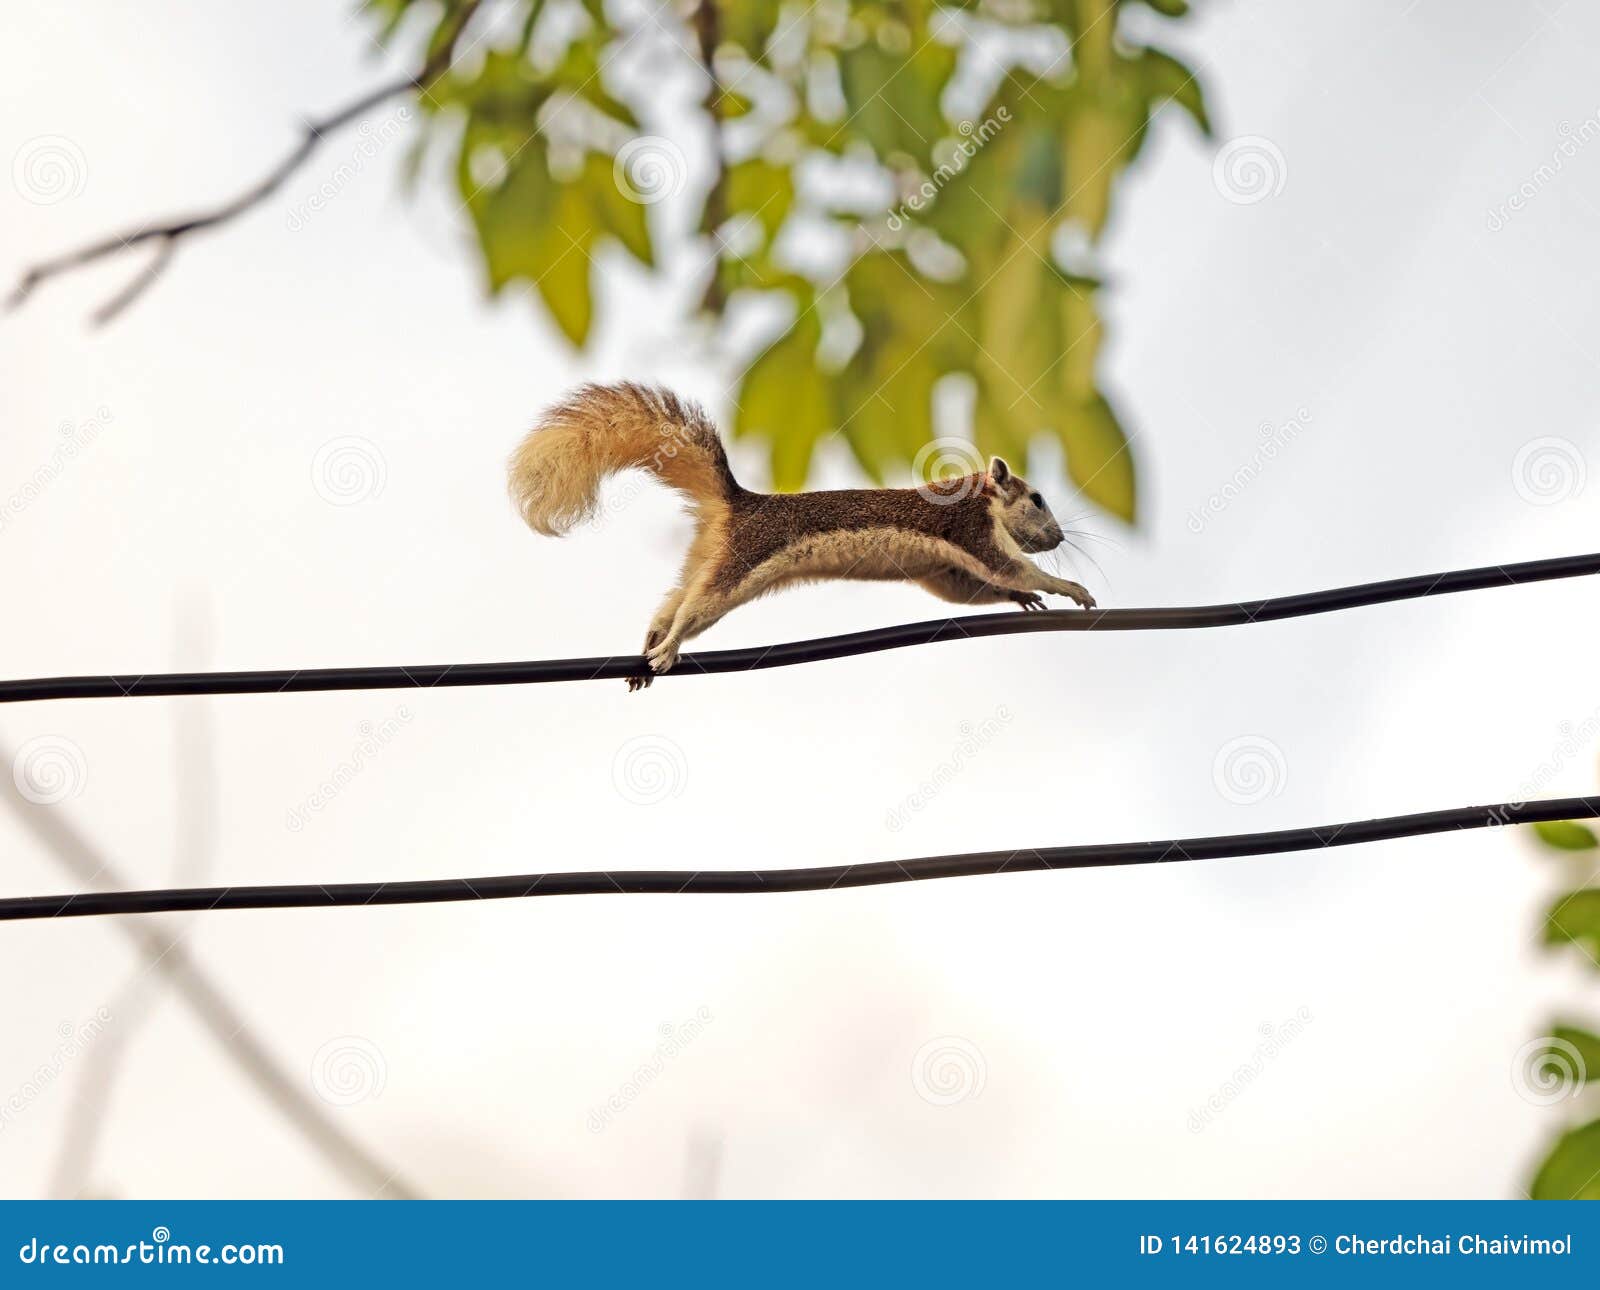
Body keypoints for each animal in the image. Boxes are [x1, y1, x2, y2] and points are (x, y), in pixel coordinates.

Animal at [508, 382, 1095, 689]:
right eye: (1037, 499)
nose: (1060, 538)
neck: (979, 497)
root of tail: (738, 505)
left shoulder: (944, 568)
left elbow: (969, 589)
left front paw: (1023, 599)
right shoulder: (970, 531)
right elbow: (1008, 566)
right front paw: (1067, 588)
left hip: (708, 555)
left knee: (671, 601)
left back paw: (650, 645)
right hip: (741, 563)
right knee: (694, 608)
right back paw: (670, 646)